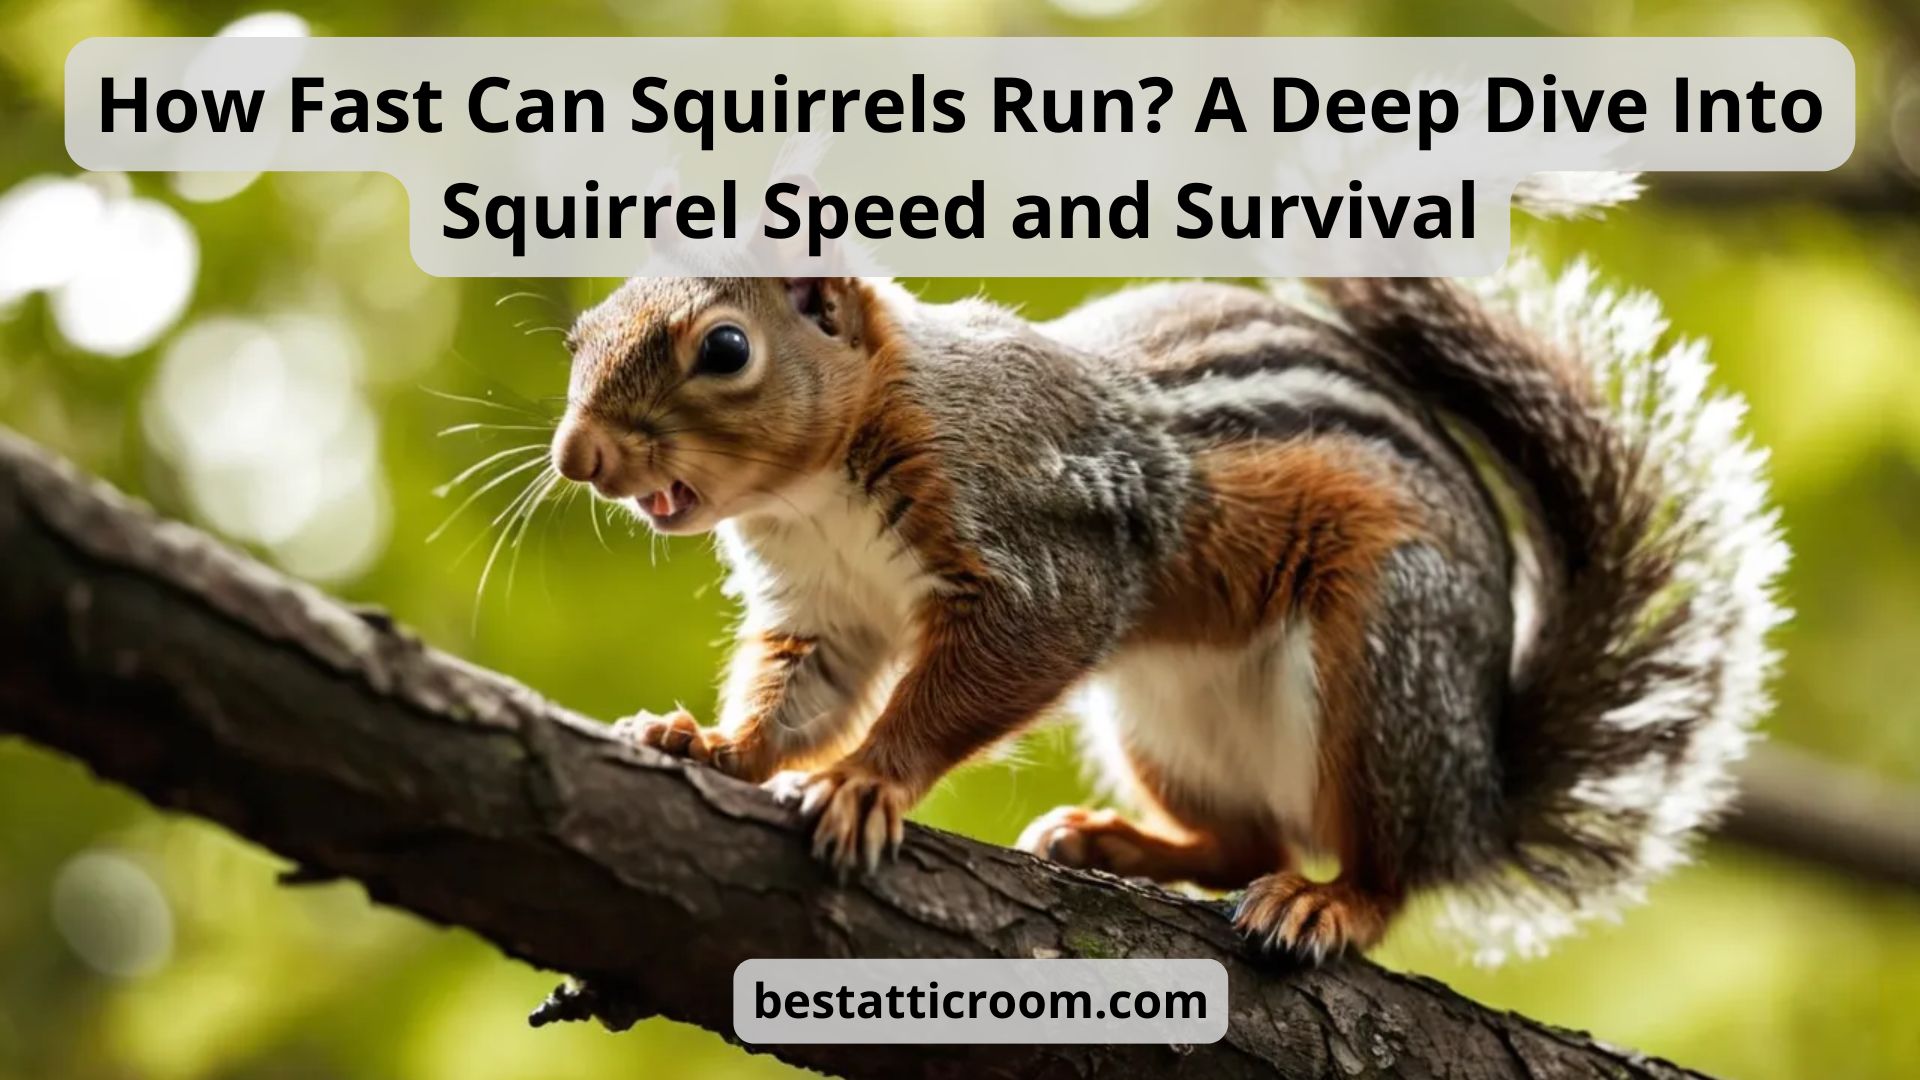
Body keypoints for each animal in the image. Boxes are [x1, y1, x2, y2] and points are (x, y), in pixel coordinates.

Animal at [548, 193, 1786, 964]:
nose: (579, 458)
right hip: (1163, 715)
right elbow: (799, 697)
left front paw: (866, 781)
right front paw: (715, 744)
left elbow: (983, 669)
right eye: (579, 336)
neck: (817, 491)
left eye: (724, 349)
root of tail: (1480, 796)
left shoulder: (1044, 546)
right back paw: (1118, 844)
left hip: (1384, 659)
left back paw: (1328, 903)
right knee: (1250, 840)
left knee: (1381, 864)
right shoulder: (826, 611)